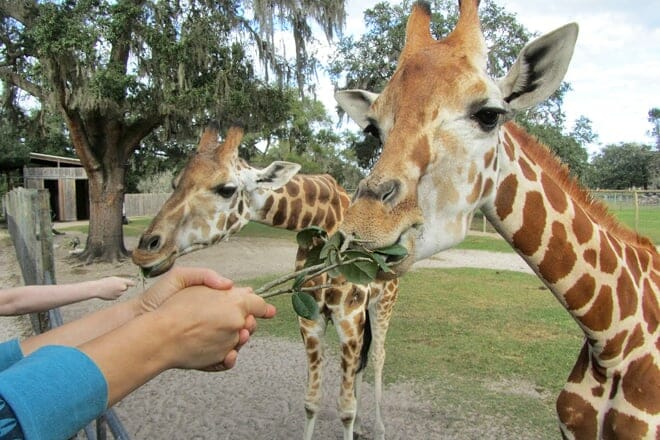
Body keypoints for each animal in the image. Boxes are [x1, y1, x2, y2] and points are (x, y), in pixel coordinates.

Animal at [131, 123, 399, 440]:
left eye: (226, 189)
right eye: (175, 183)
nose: (146, 250)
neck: (324, 223)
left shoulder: (348, 317)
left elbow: (346, 408)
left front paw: (356, 421)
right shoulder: (310, 319)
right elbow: (311, 401)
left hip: (383, 301)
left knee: (379, 355)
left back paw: (380, 428)